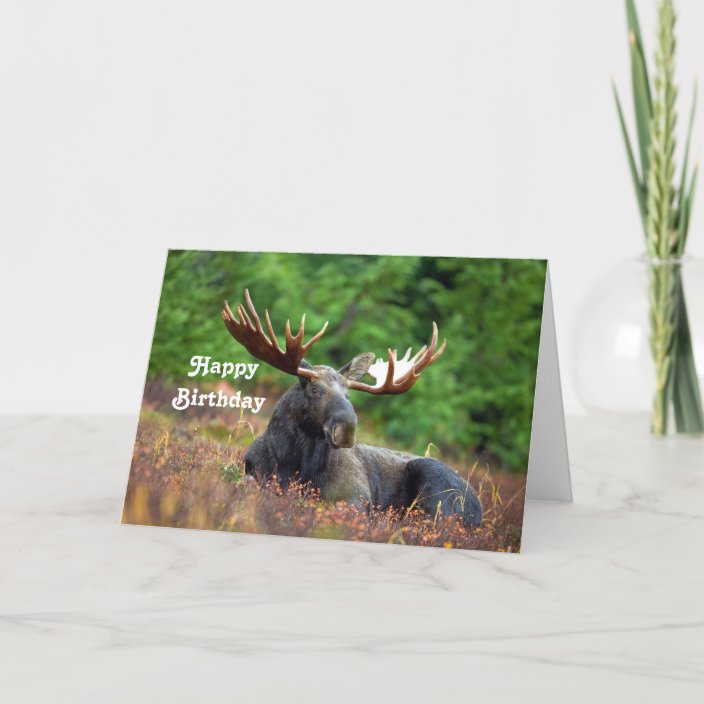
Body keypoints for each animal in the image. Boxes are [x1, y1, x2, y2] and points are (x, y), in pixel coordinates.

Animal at [221, 291, 483, 527]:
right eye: (314, 389)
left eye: (348, 394)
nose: (346, 429)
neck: (292, 464)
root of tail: (479, 510)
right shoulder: (253, 472)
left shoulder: (357, 496)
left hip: (436, 486)